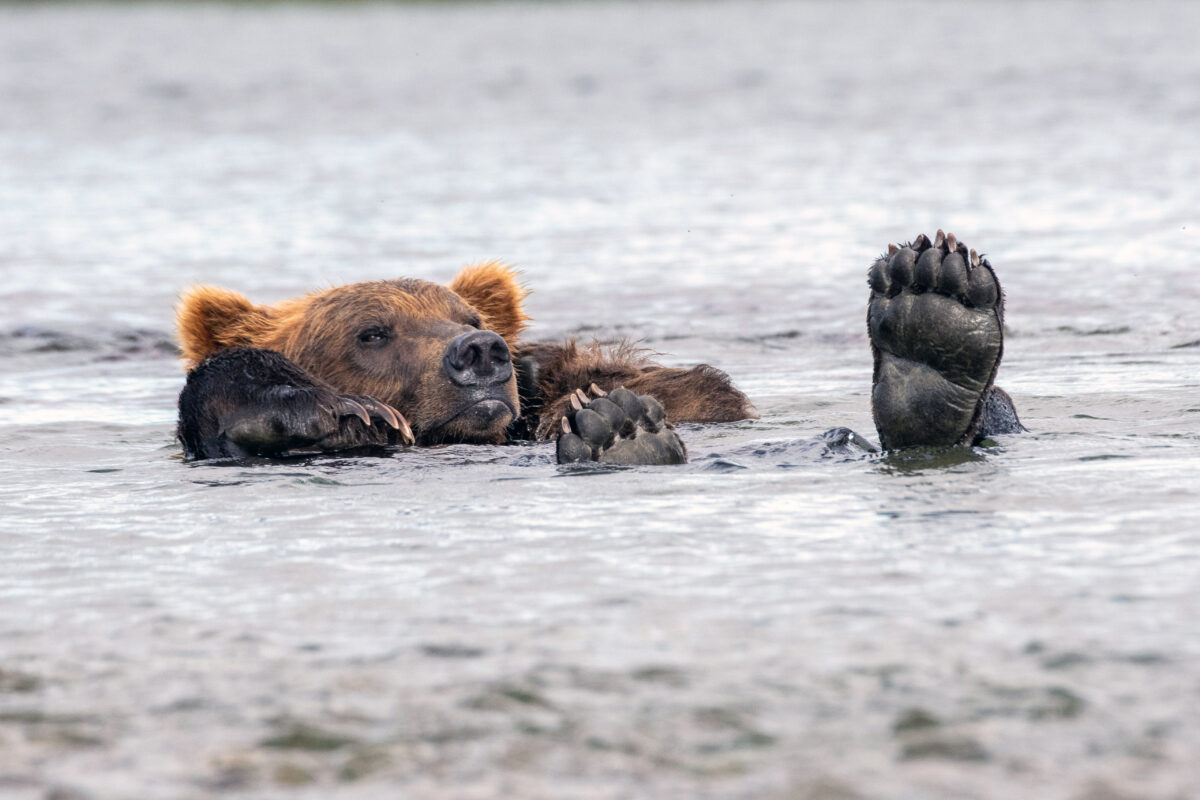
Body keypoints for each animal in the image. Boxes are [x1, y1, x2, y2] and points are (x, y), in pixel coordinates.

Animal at [174, 231, 1023, 464]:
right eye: (371, 332)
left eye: (458, 312)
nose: (479, 350)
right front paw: (341, 410)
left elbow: (696, 386)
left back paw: (937, 324)